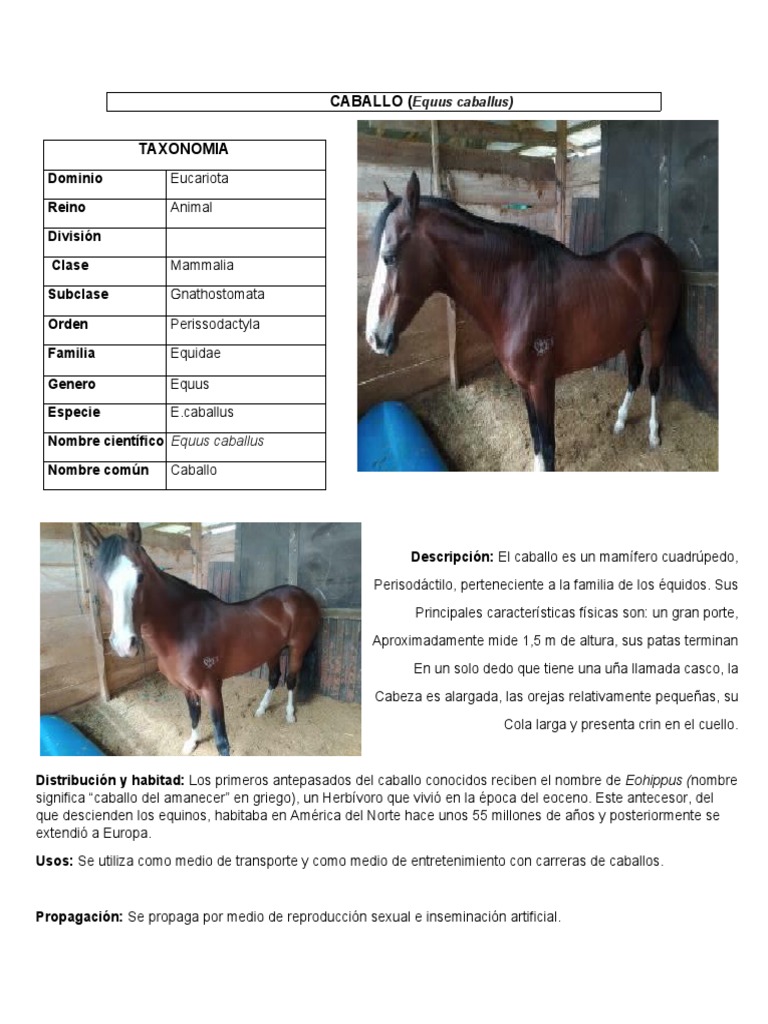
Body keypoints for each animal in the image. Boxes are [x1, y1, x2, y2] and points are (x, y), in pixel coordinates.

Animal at [83, 523, 321, 756]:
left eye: (140, 576)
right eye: (99, 578)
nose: (124, 644)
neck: (183, 631)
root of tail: (301, 595)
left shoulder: (211, 689)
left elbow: (221, 740)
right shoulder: (187, 689)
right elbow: (194, 715)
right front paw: (192, 743)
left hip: (297, 649)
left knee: (290, 680)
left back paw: (290, 715)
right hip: (272, 650)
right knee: (273, 678)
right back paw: (261, 709)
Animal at [365, 172, 713, 471]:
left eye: (390, 256)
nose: (374, 338)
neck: (516, 291)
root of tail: (659, 249)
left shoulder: (542, 383)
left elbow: (548, 445)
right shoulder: (524, 385)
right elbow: (535, 440)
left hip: (658, 330)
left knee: (653, 378)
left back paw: (653, 434)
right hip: (629, 334)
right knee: (635, 373)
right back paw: (620, 421)